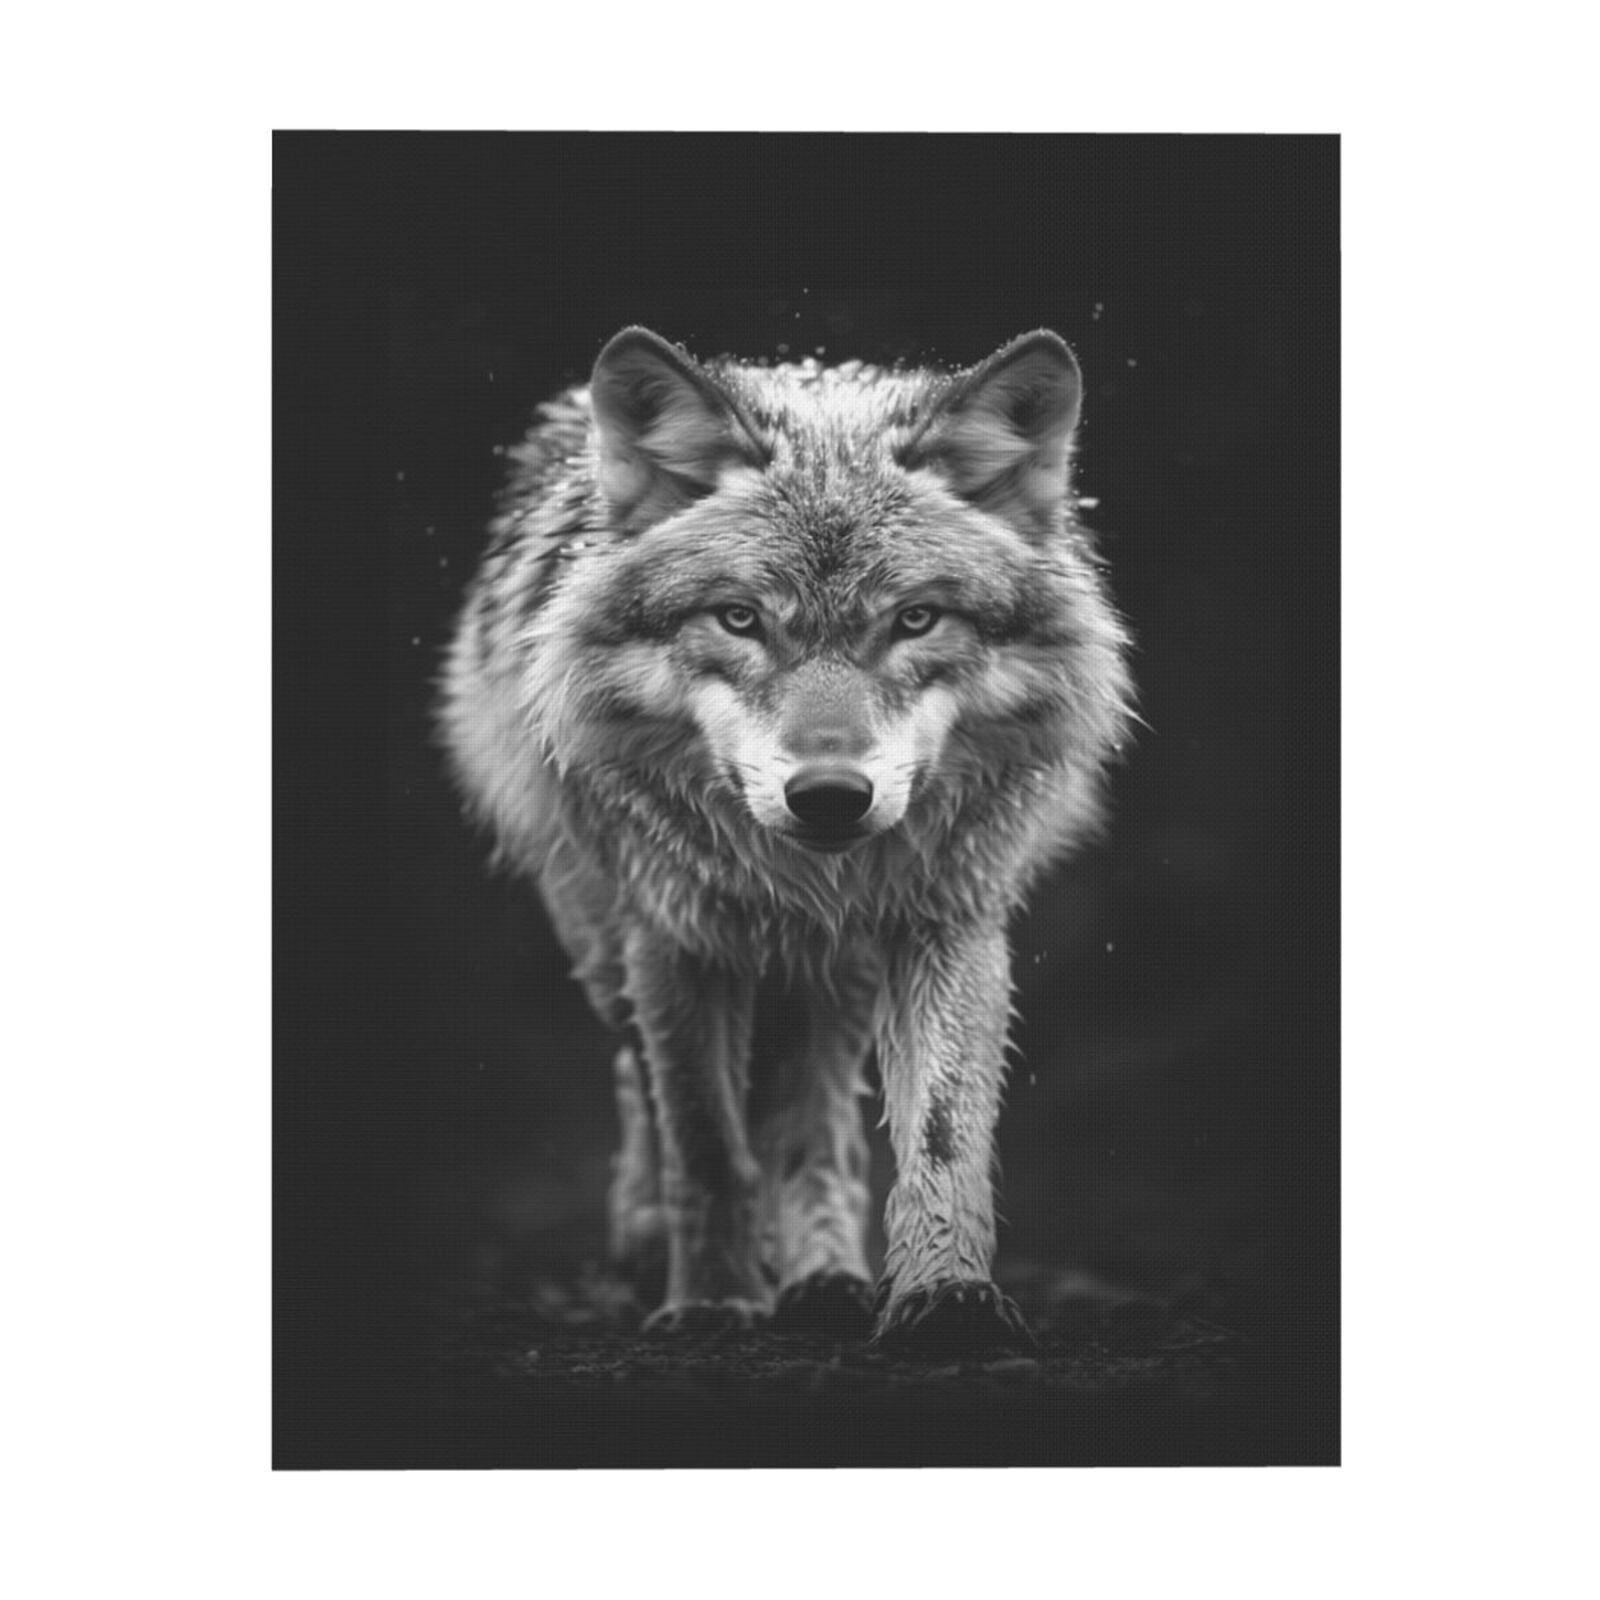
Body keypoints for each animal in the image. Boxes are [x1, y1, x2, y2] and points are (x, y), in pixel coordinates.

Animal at [439, 326, 1133, 1351]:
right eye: (740, 618)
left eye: (915, 618)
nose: (832, 798)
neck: (807, 884)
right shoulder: (673, 936)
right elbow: (704, 1140)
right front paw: (712, 1302)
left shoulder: (950, 919)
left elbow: (940, 1127)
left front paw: (945, 1298)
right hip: (605, 946)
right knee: (644, 1085)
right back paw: (652, 1246)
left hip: (832, 982)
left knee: (818, 1129)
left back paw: (825, 1280)